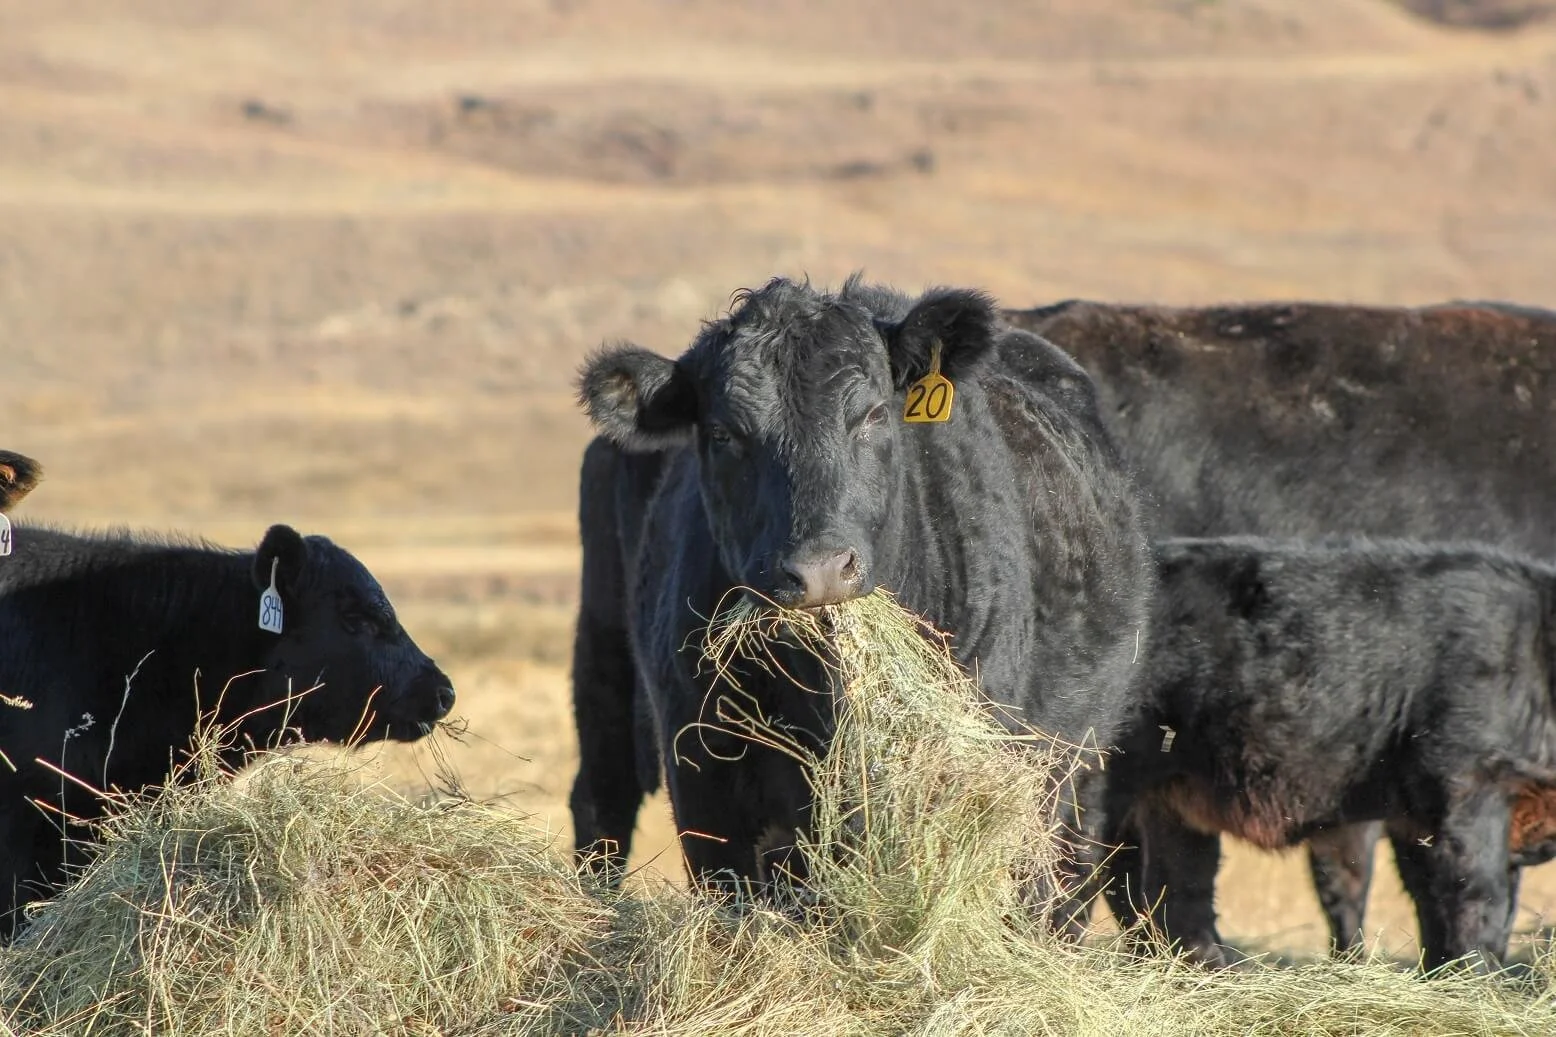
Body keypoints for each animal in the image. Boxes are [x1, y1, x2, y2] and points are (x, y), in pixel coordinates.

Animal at [1109, 535, 1556, 973]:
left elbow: (1440, 905)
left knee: (1177, 894)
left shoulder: (1421, 818)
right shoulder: (1474, 788)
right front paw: (1473, 979)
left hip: (1174, 798)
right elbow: (1478, 898)